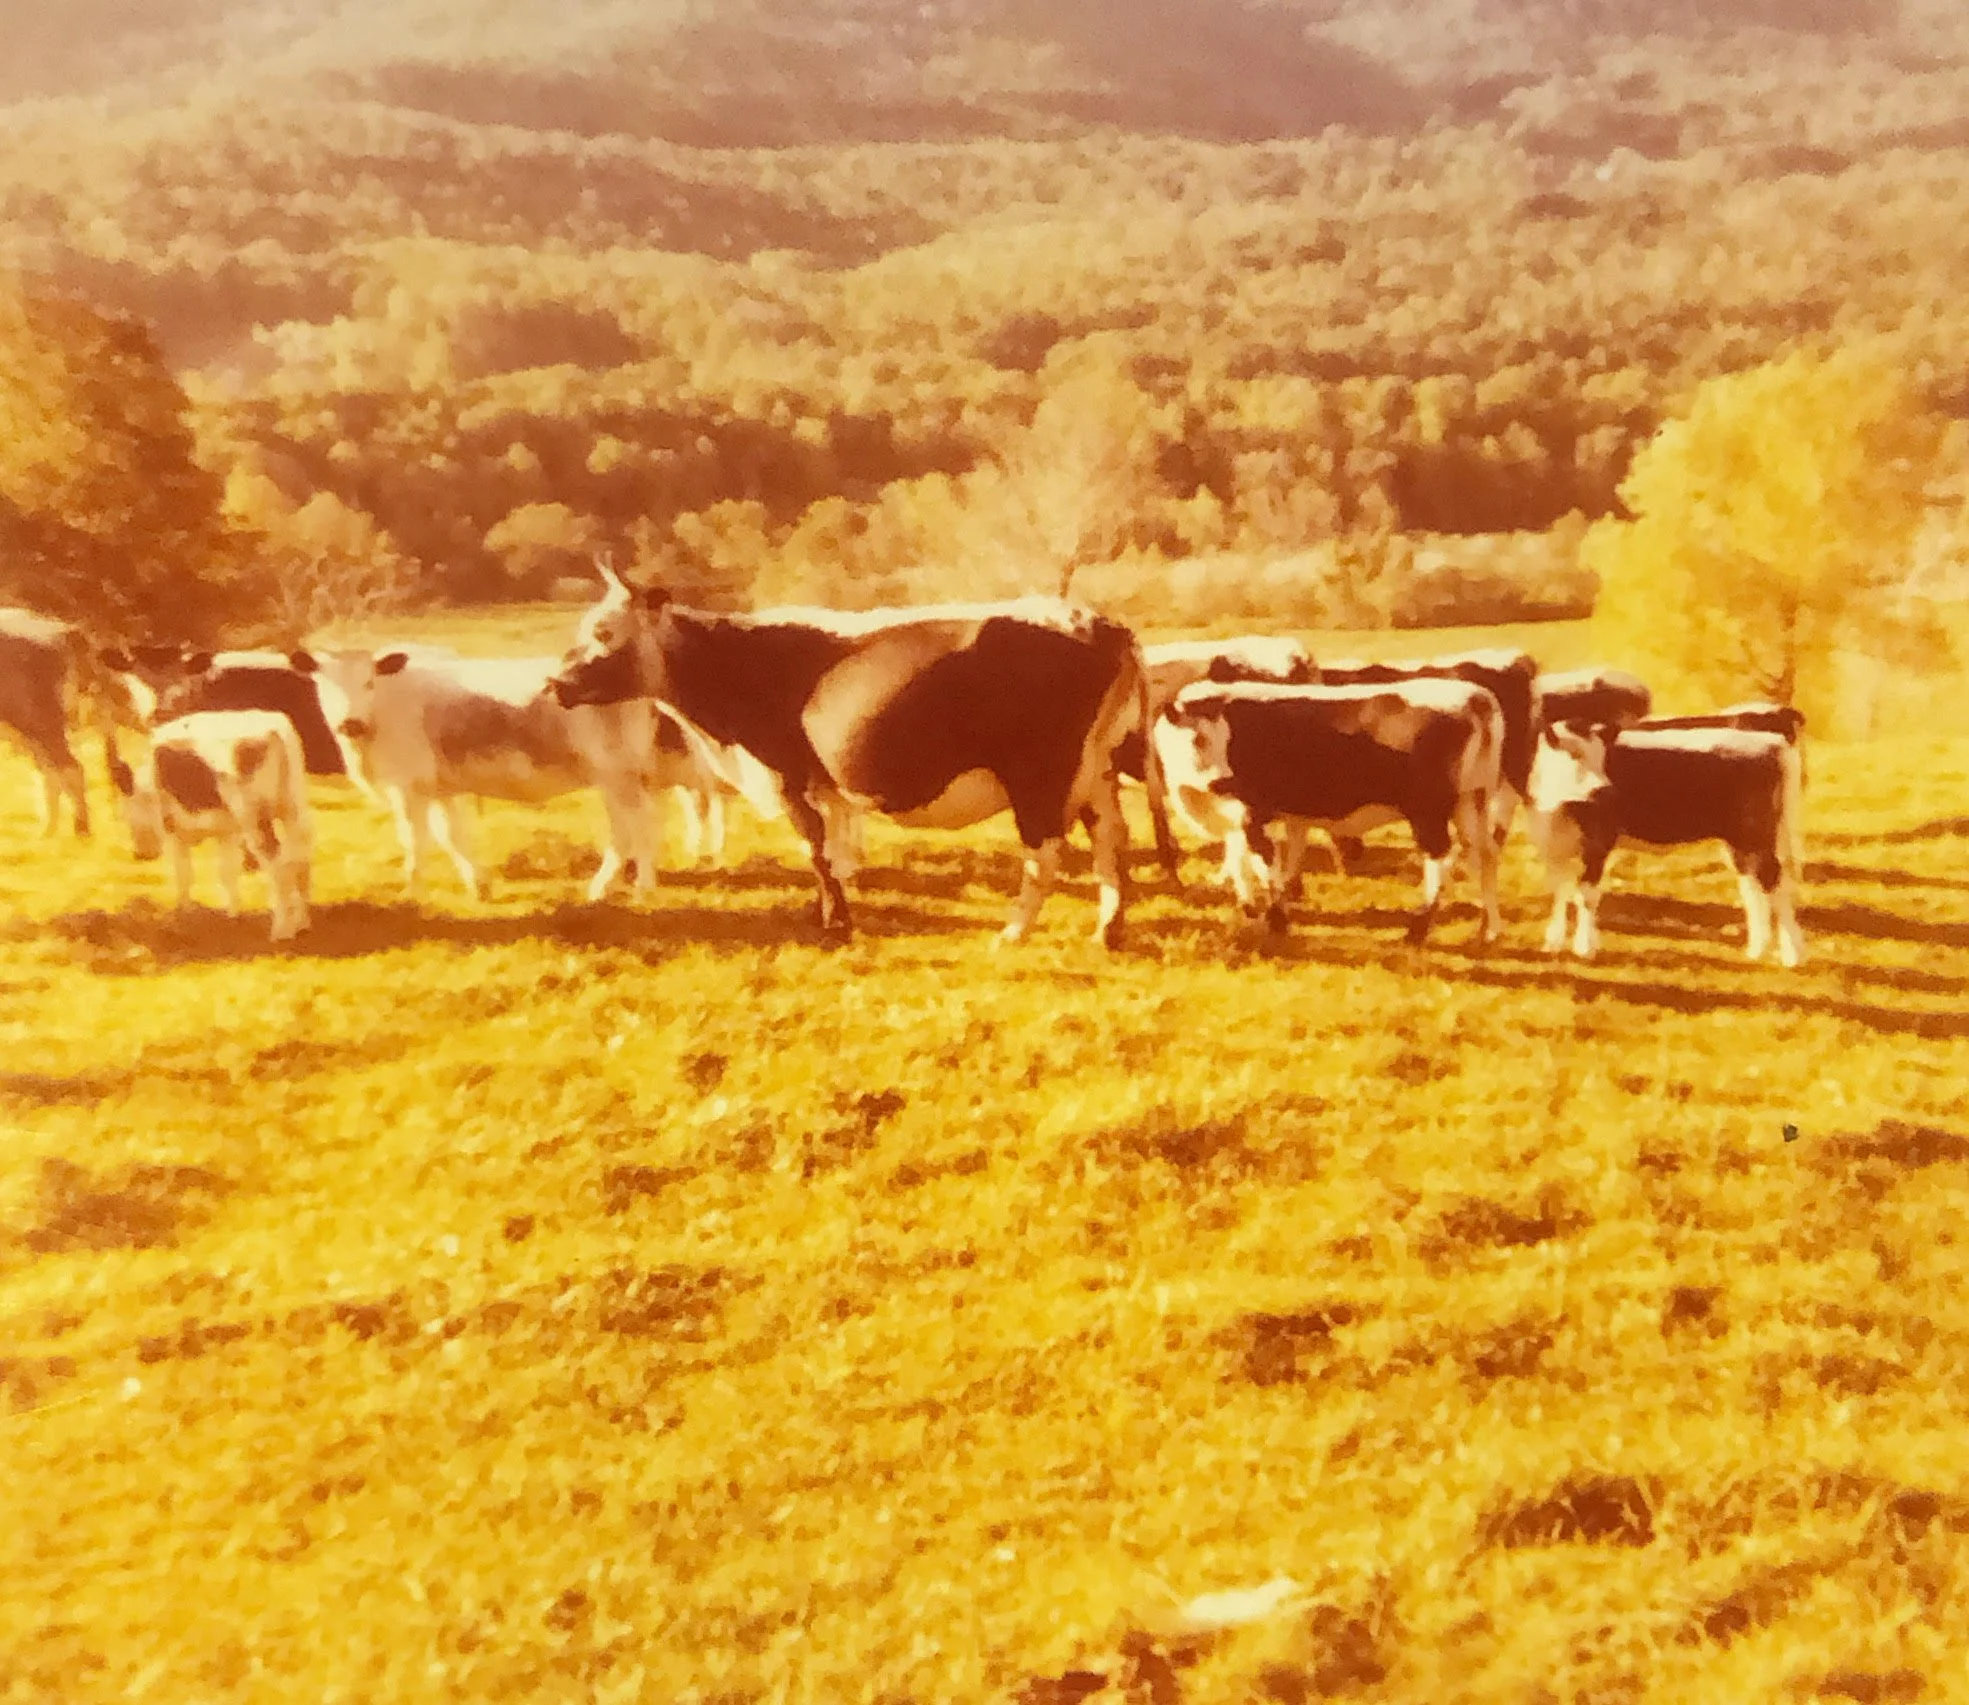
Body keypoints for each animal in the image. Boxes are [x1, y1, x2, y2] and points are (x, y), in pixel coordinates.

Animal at [105, 710, 313, 942]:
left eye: (126, 813)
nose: (141, 854)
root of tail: (273, 726)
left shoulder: (171, 831)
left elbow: (183, 874)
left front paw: (182, 913)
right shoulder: (227, 831)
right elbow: (227, 871)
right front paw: (233, 913)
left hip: (253, 817)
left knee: (277, 862)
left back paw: (282, 930)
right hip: (292, 807)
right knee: (300, 858)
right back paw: (302, 922)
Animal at [292, 647, 712, 904]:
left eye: (368, 682)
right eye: (323, 684)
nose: (349, 723)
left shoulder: (407, 788)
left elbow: (415, 840)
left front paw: (412, 892)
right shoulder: (441, 787)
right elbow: (453, 835)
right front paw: (479, 885)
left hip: (618, 774)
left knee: (638, 828)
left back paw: (638, 888)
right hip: (620, 777)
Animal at [548, 570, 1149, 947]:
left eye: (603, 632)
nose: (556, 683)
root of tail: (1094, 621)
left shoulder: (787, 777)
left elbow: (815, 851)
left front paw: (835, 923)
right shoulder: (828, 788)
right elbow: (836, 852)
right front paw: (832, 912)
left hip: (1040, 774)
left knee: (1044, 856)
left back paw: (1014, 931)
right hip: (1097, 769)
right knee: (1110, 840)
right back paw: (1108, 929)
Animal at [1152, 677, 1504, 945]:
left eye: (1227, 739)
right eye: (1198, 739)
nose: (1225, 780)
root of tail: (1474, 695)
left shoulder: (1251, 813)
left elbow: (1264, 866)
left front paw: (1277, 920)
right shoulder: (1234, 818)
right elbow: (1238, 862)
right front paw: (1249, 909)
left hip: (1428, 811)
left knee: (1442, 858)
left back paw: (1416, 930)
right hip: (1471, 800)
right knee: (1484, 855)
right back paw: (1490, 930)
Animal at [1523, 719, 1805, 966]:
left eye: (1601, 756)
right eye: (1574, 755)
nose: (1604, 790)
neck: (1559, 807)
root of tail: (1770, 741)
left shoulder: (1599, 841)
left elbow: (1586, 894)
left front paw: (1585, 947)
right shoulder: (1552, 844)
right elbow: (1561, 890)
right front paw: (1553, 943)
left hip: (1758, 834)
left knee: (1775, 883)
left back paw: (1792, 955)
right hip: (1740, 842)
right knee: (1752, 886)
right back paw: (1757, 949)